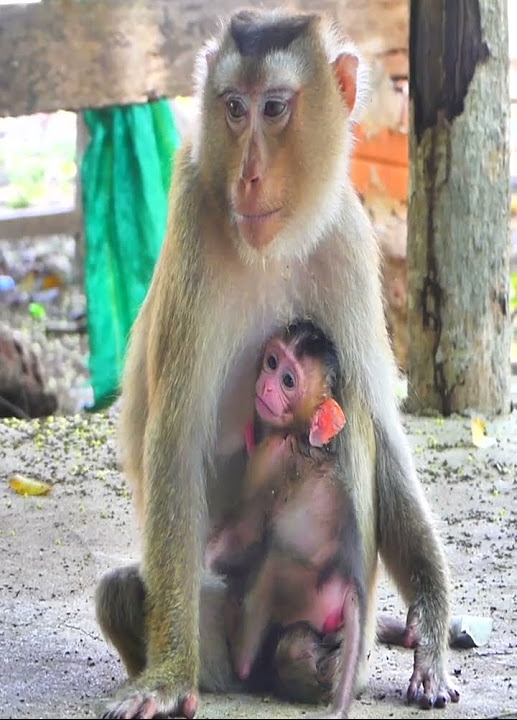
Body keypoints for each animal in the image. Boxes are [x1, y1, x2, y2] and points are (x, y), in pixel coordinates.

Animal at [204, 320, 363, 717]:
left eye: (288, 380)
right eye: (272, 361)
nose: (266, 385)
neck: (301, 433)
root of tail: (349, 584)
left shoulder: (270, 457)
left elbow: (247, 527)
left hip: (300, 588)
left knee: (270, 564)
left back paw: (241, 651)